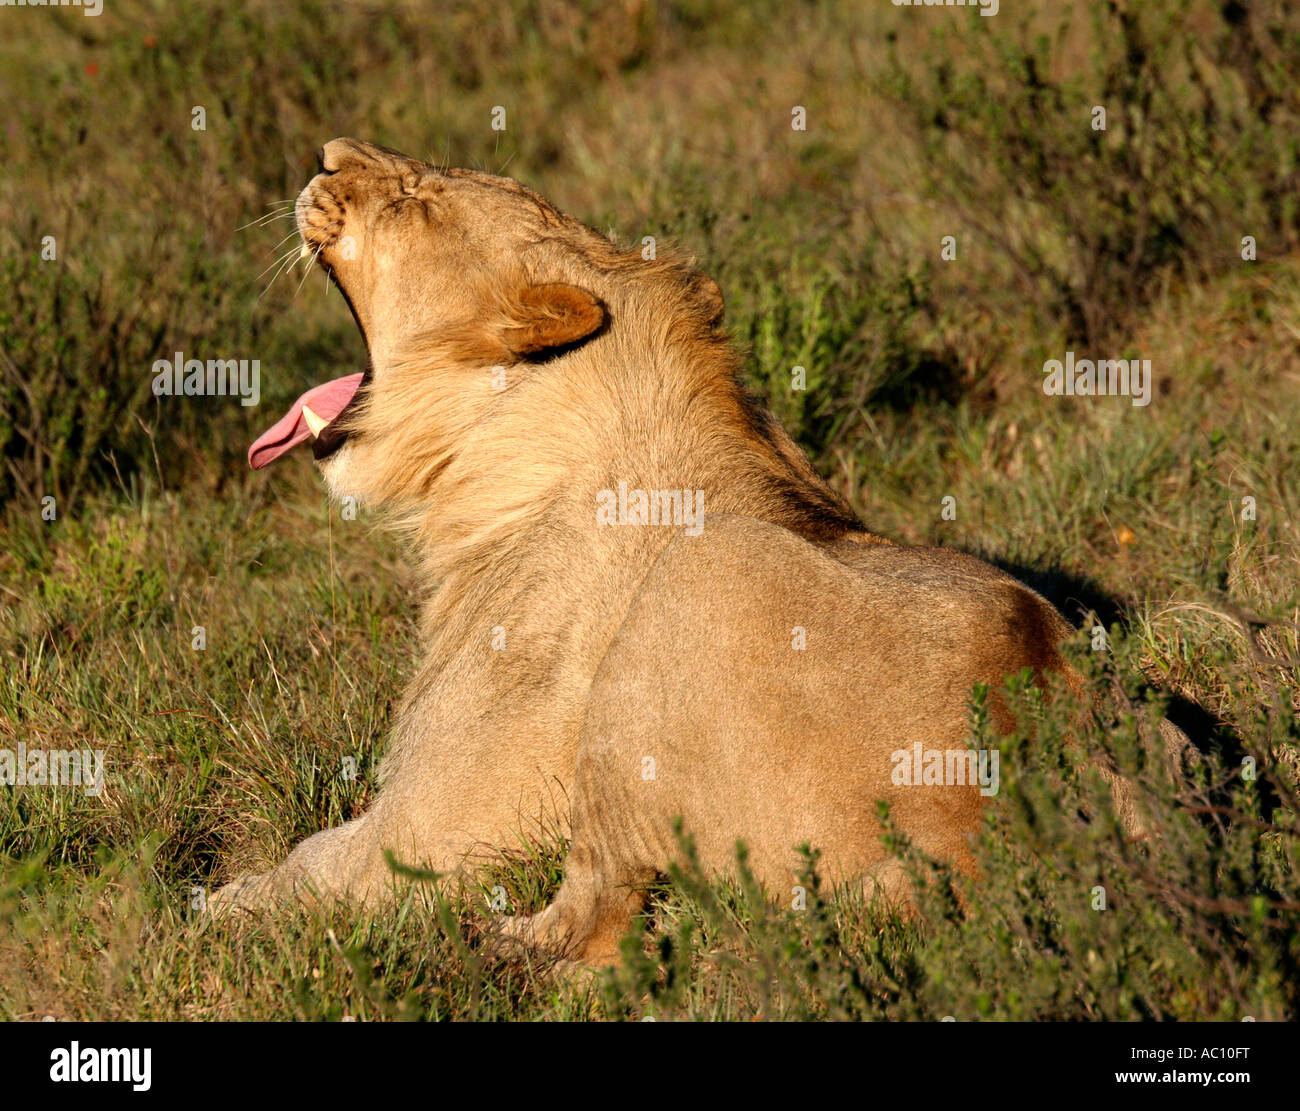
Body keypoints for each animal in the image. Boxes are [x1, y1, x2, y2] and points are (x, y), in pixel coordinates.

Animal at [214, 138, 1175, 964]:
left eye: (417, 199)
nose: (326, 152)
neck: (490, 475)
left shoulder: (427, 827)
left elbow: (307, 867)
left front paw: (215, 908)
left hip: (697, 580)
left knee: (591, 929)